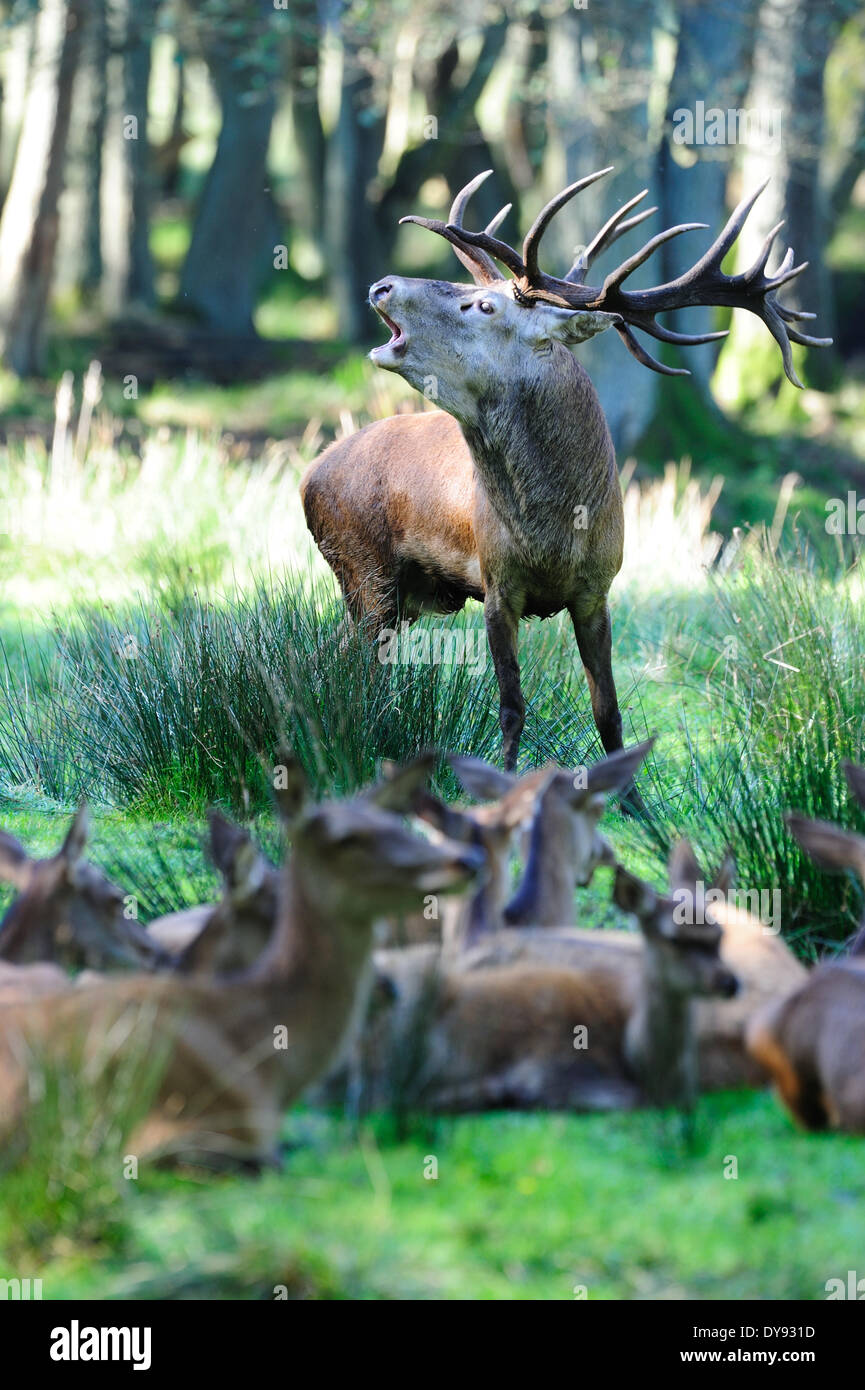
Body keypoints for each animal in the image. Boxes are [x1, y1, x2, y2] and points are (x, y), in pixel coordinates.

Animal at [301, 168, 830, 773]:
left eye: (484, 306)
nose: (383, 286)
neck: (556, 531)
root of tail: (309, 475)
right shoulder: (497, 582)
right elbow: (512, 706)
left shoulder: (598, 588)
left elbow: (609, 713)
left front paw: (630, 793)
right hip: (364, 568)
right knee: (349, 667)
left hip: (395, 592)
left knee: (334, 658)